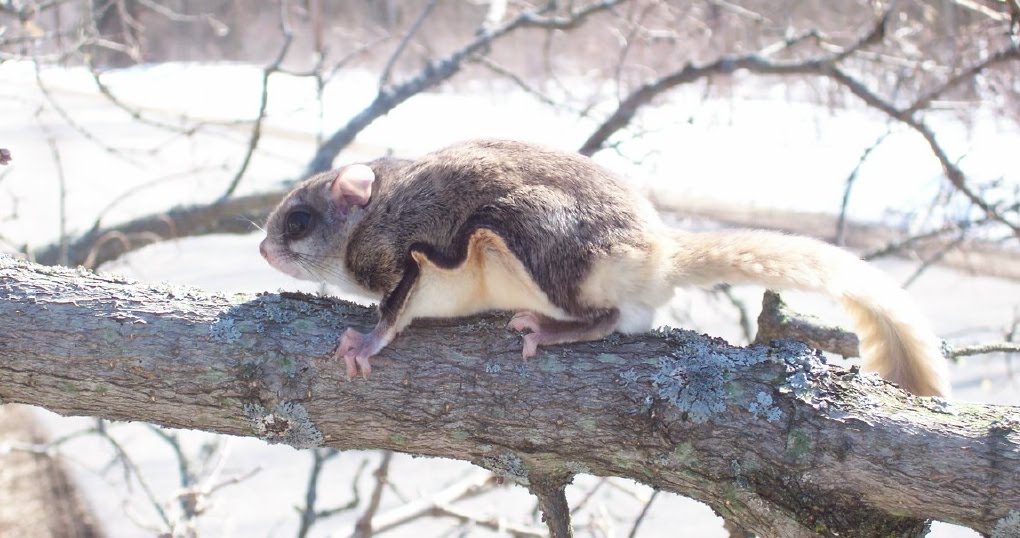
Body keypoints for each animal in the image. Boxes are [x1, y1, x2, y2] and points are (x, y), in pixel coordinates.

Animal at [260, 139, 950, 397]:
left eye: (297, 220)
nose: (263, 251)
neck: (371, 213)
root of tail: (659, 253)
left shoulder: (404, 253)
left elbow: (393, 311)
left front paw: (363, 342)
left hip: (532, 238)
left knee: (608, 315)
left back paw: (547, 330)